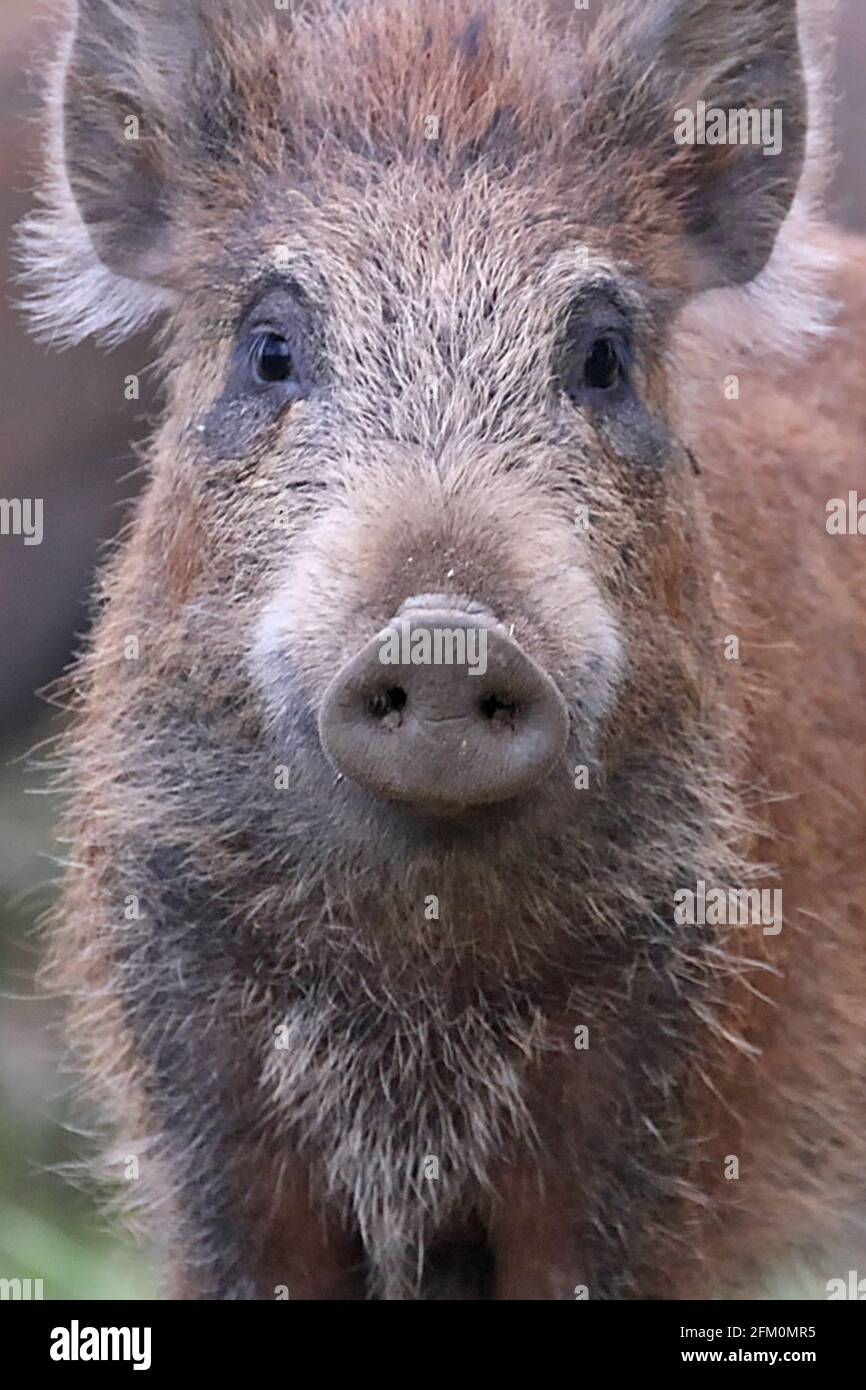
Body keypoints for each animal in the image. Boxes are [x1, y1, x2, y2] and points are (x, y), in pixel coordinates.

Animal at [21, 0, 866, 1298]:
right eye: (271, 349)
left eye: (599, 358)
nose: (446, 630)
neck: (413, 975)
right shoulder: (187, 1052)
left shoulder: (657, 1099)